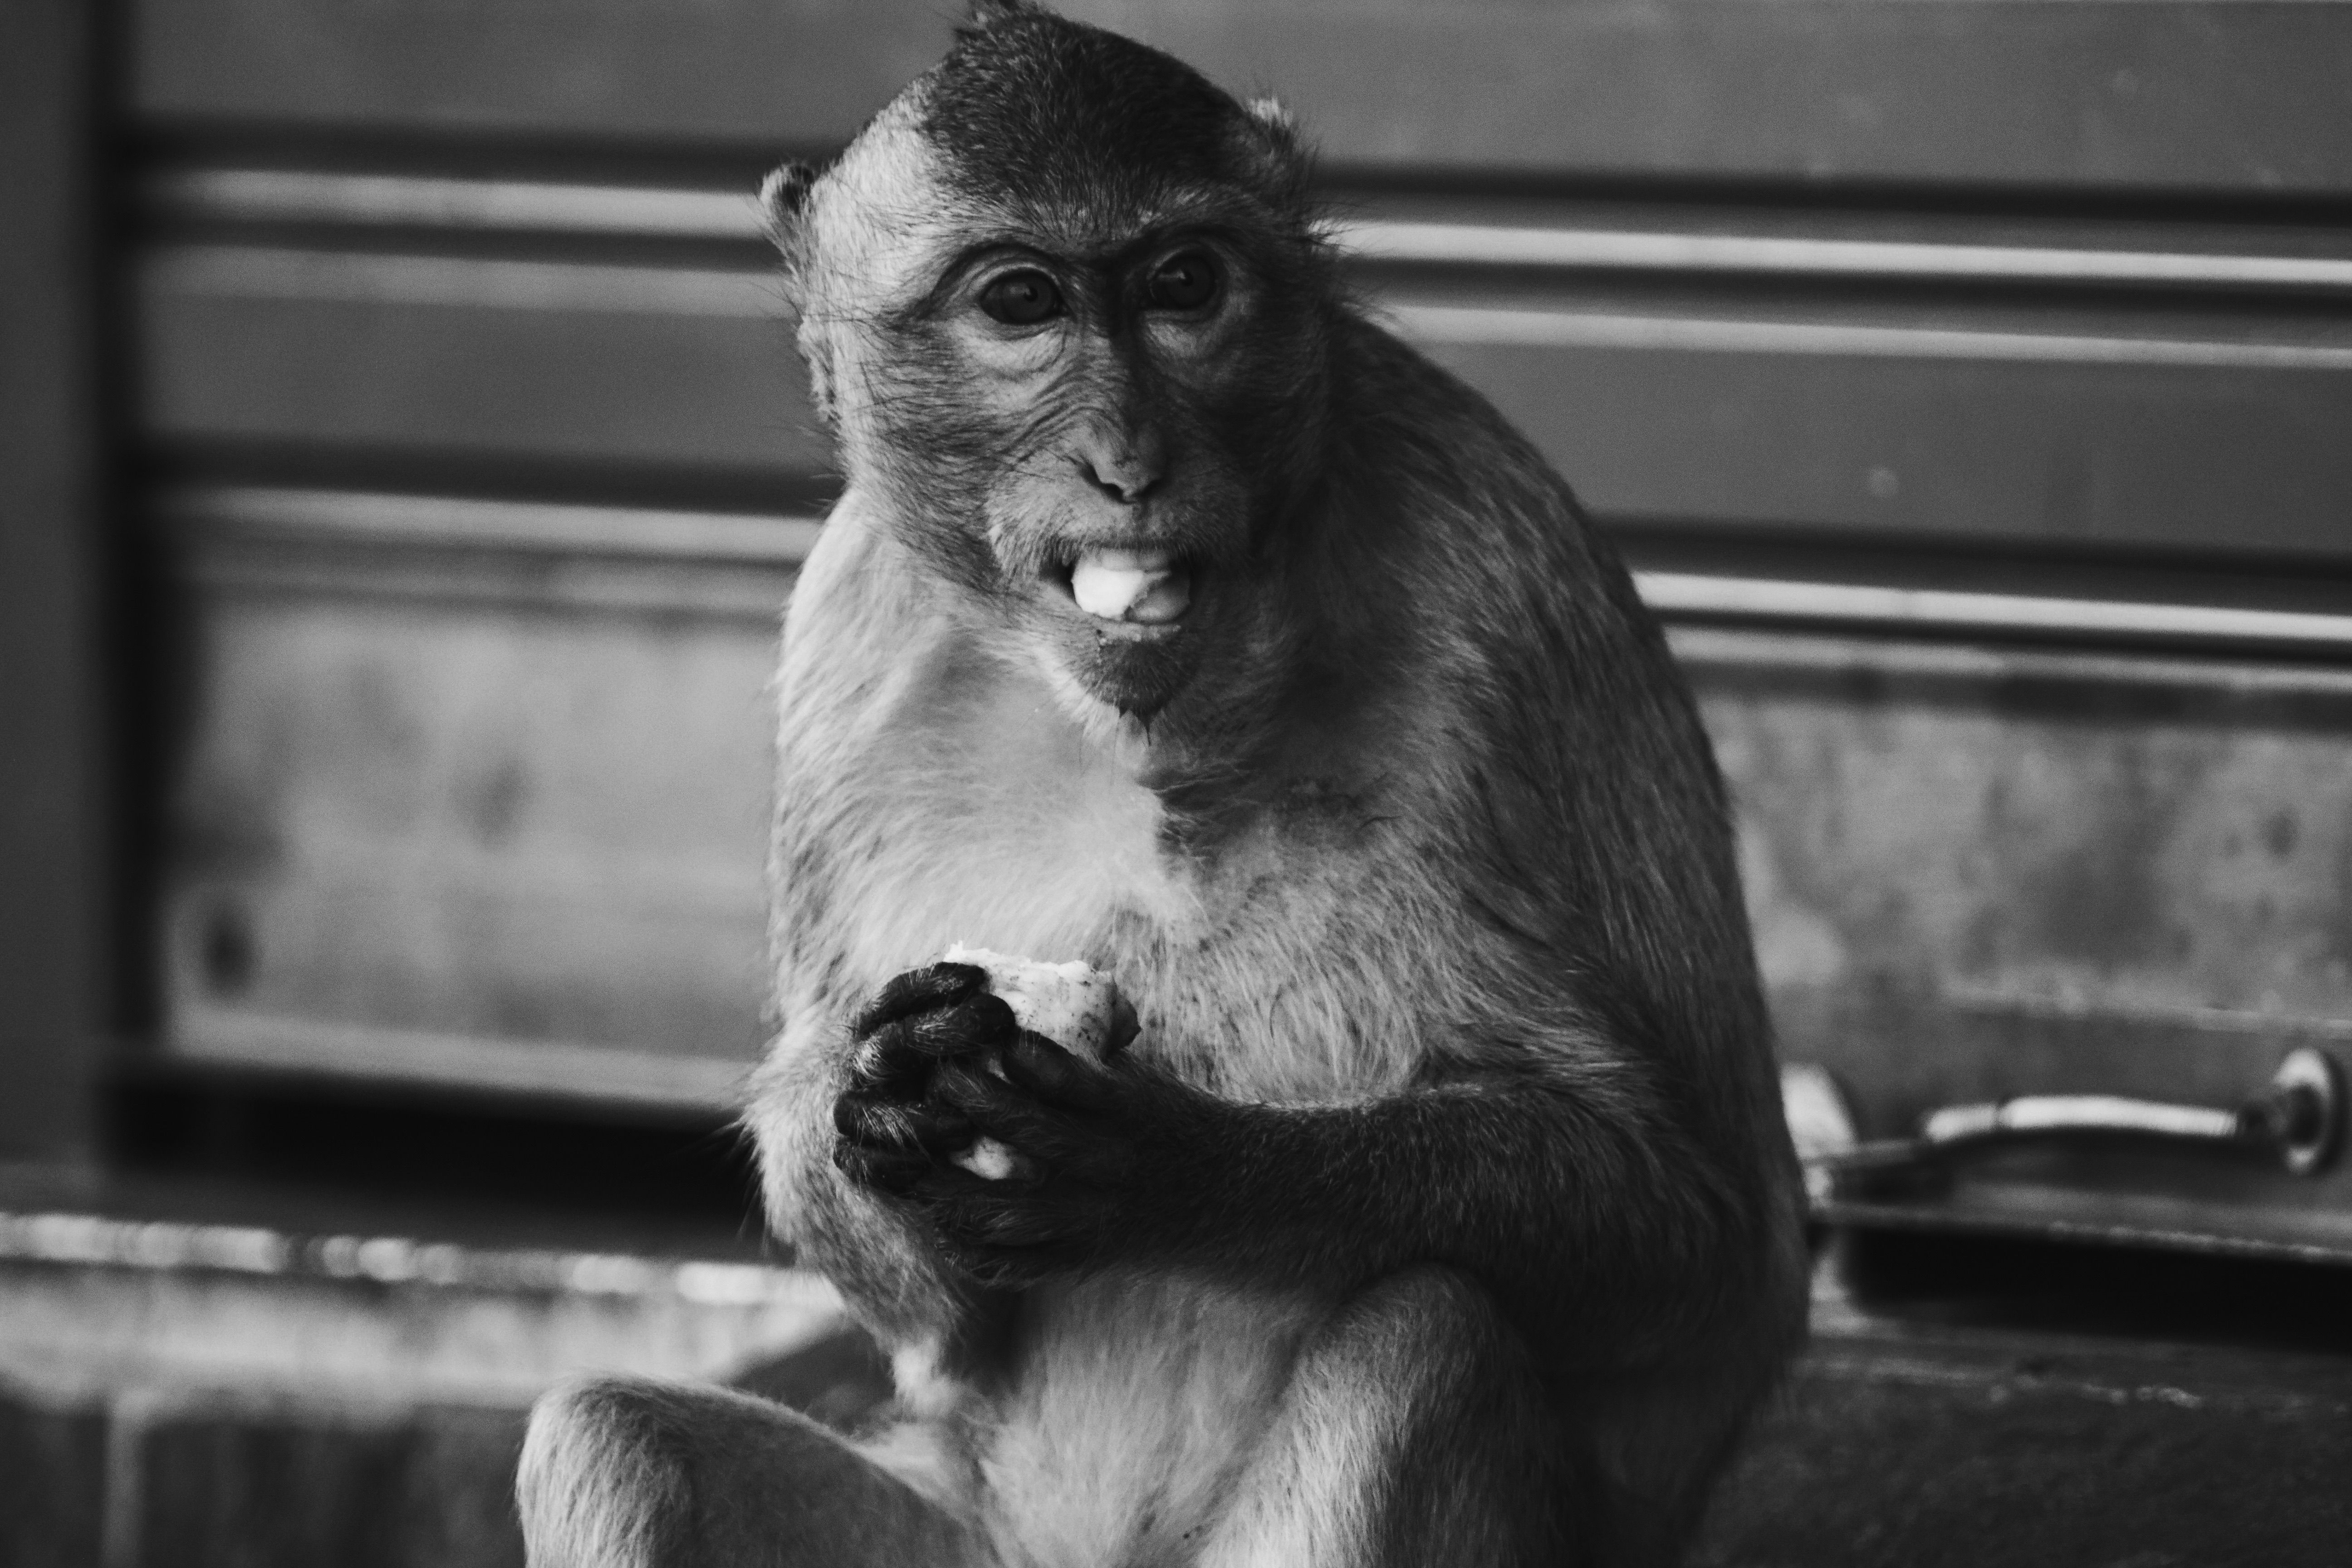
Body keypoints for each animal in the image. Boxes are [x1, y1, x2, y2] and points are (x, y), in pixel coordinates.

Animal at [517, 3, 1809, 1564]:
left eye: (1184, 285)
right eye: (1022, 303)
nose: (1127, 462)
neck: (1149, 736)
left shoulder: (1500, 576)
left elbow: (1692, 1229)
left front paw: (1172, 1169)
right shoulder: (842, 633)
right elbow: (930, 1327)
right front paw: (877, 1090)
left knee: (1425, 1337)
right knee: (612, 1438)